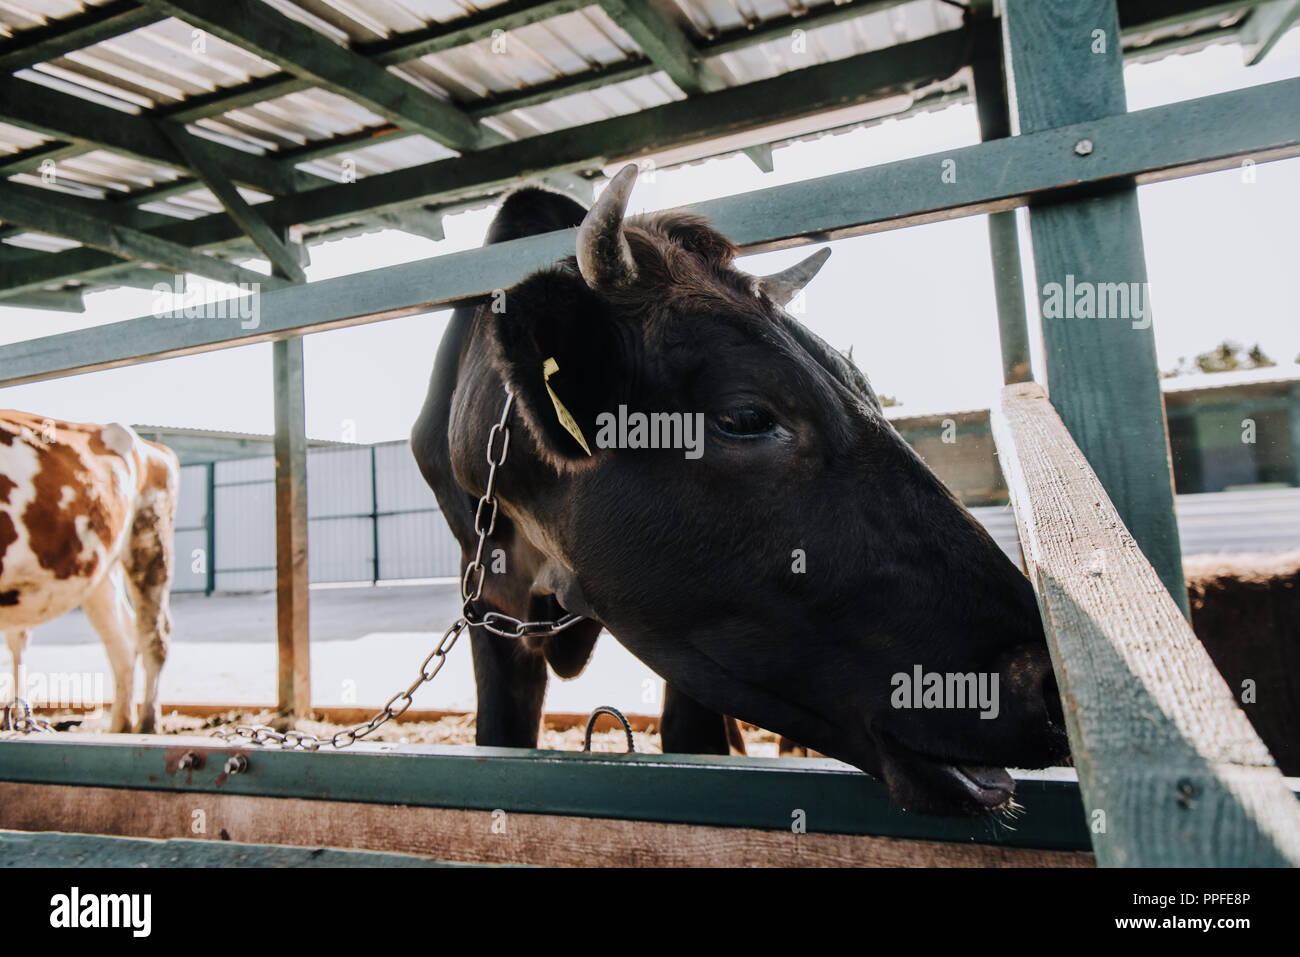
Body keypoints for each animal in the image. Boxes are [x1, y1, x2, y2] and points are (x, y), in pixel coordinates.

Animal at [0, 411, 178, 734]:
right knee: (121, 638)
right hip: (99, 572)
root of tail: (151, 447)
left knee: (153, 634)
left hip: (150, 536)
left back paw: (147, 725)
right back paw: (119, 727)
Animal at [411, 164, 1068, 816]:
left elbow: (692, 739)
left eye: (864, 388)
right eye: (746, 416)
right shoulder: (489, 598)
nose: (1047, 680)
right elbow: (500, 738)